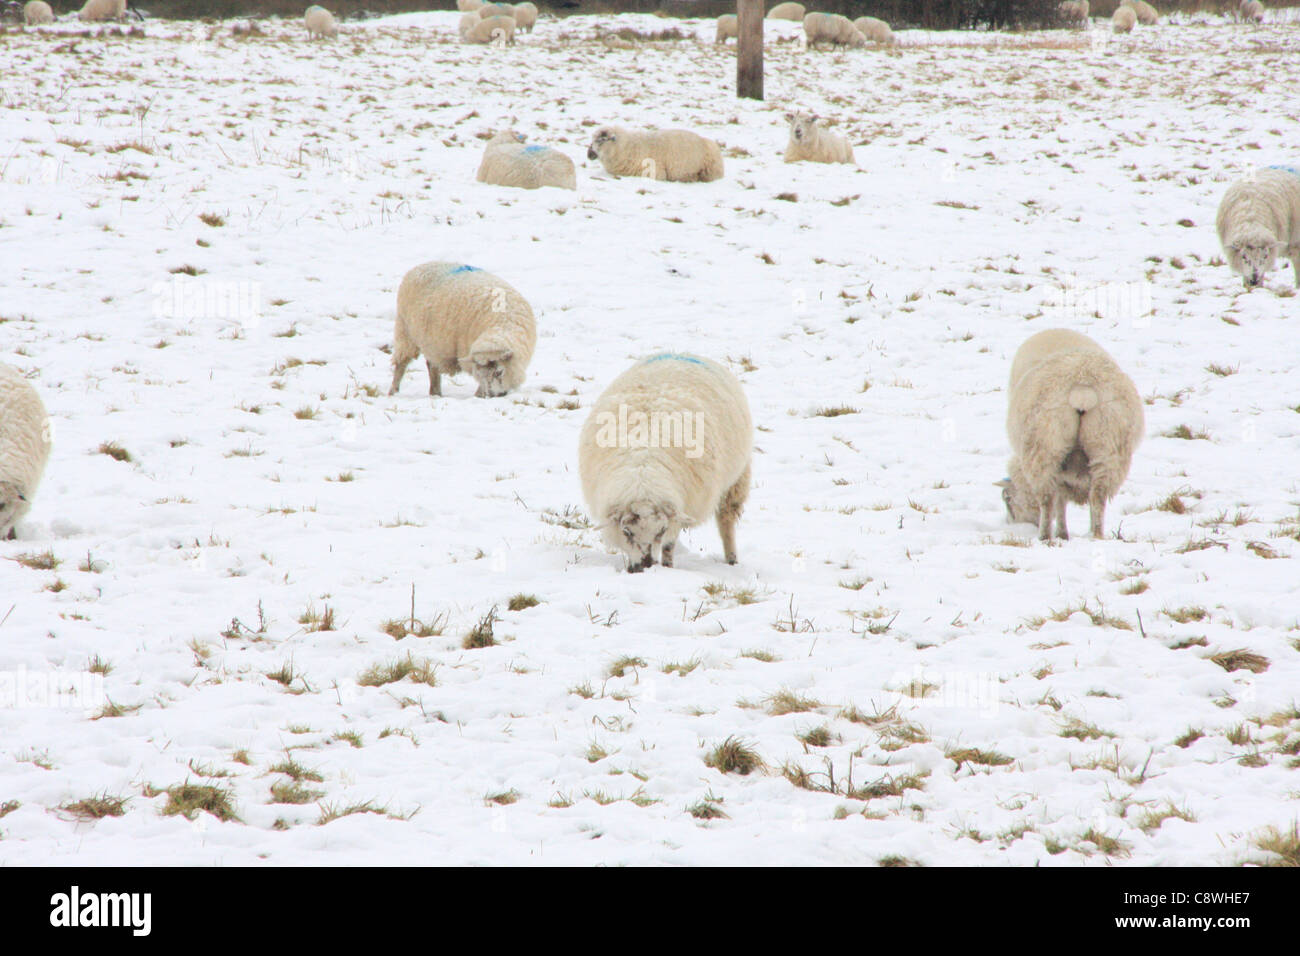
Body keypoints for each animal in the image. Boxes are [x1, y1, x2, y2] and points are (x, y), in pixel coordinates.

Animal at [389, 262, 536, 399]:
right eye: (480, 374)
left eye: (499, 372)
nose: (493, 396)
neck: (502, 324)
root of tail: (419, 267)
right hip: (405, 332)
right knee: (401, 364)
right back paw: (393, 392)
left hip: (433, 342)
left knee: (432, 365)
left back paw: (435, 393)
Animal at [578, 353, 752, 573]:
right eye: (626, 531)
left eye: (661, 530)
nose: (644, 567)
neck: (642, 471)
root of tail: (681, 353)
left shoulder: (679, 509)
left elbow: (669, 545)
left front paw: (668, 566)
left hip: (737, 480)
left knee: (726, 522)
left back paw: (731, 559)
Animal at [997, 329, 1143, 542]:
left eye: (1007, 498)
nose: (1011, 523)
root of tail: (1082, 385)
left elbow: (1059, 499)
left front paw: (1061, 533)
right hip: (1108, 444)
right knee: (1098, 497)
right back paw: (1095, 535)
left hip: (1045, 443)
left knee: (1048, 498)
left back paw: (1045, 537)